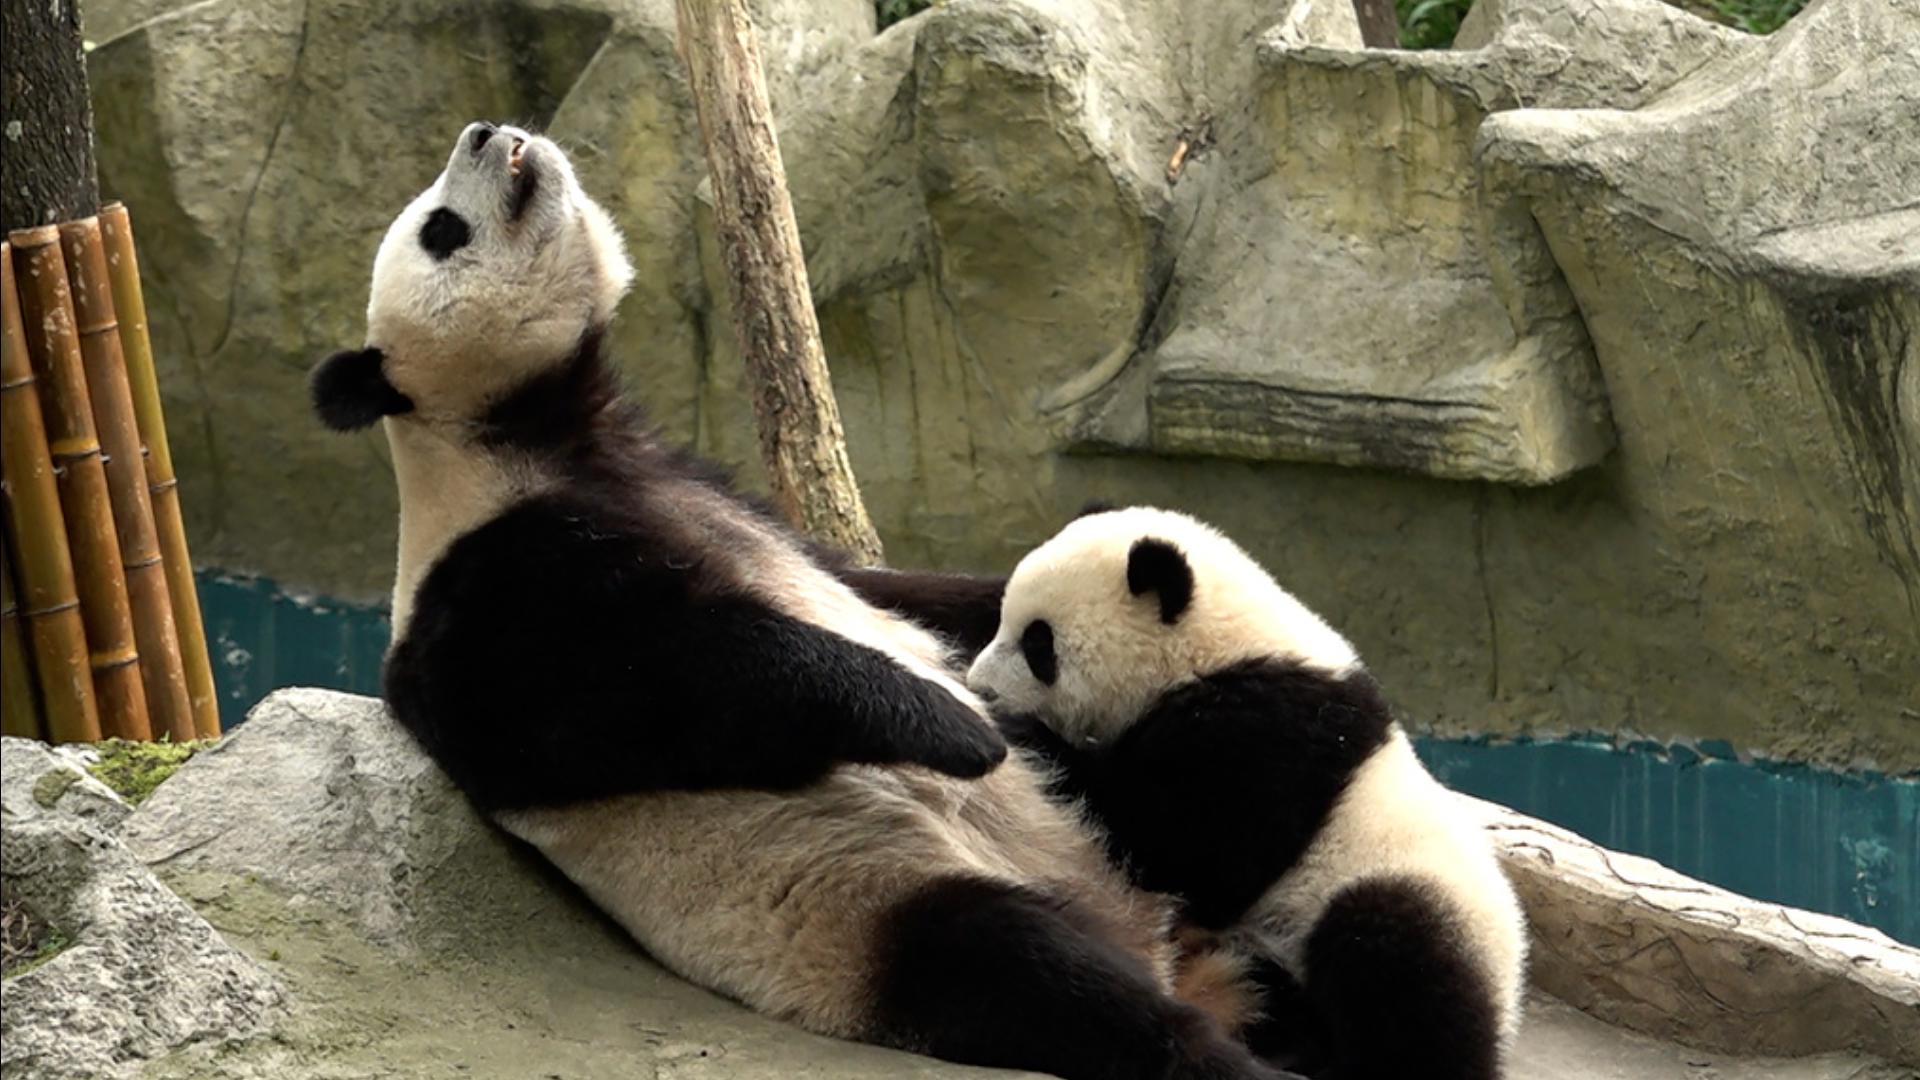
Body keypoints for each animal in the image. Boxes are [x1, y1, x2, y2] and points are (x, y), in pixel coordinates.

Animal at [307, 122, 1300, 1080]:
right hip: (869, 911)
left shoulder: (714, 492)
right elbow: (656, 687)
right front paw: (956, 726)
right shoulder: (488, 590)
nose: (484, 131)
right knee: (1040, 976)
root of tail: (1160, 947)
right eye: (441, 230)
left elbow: (896, 592)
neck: (525, 436)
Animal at [964, 505, 1528, 1080]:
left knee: (1393, 961)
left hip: (1412, 893)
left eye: (1039, 644)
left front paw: (1016, 728)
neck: (1219, 648)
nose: (980, 684)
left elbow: (1186, 847)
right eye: (1003, 618)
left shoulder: (1269, 738)